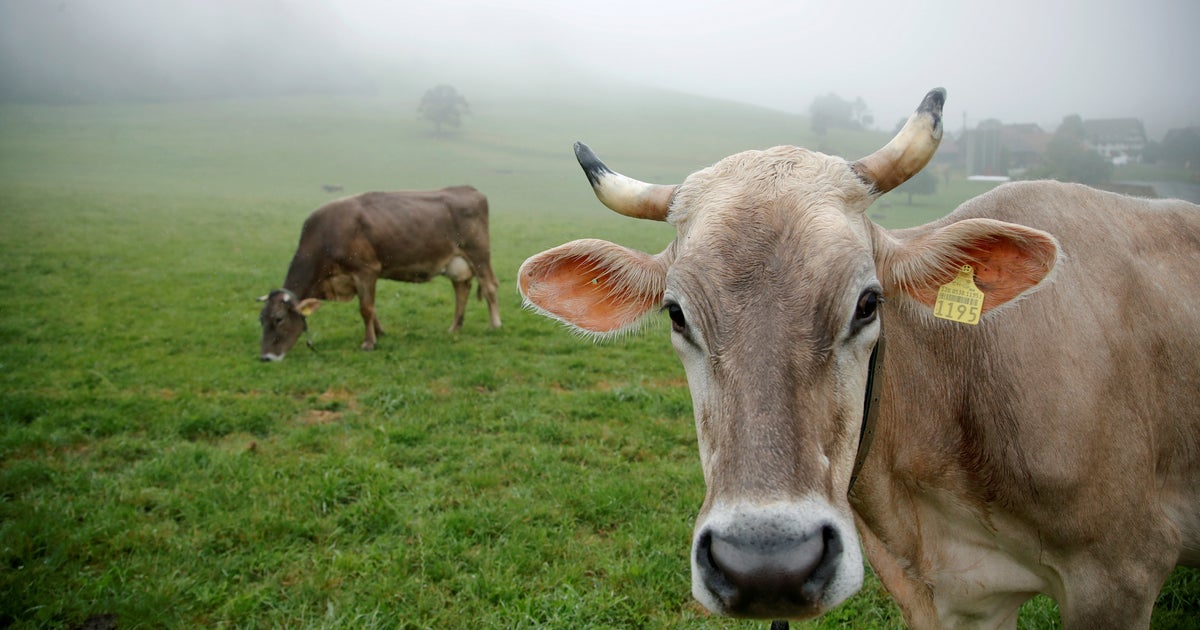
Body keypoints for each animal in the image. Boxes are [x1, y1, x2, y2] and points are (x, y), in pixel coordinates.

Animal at [258, 186, 501, 361]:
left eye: (279, 319)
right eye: (261, 319)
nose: (265, 357)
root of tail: (468, 189)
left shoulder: (366, 270)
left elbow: (365, 308)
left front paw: (369, 342)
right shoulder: (355, 277)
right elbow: (371, 308)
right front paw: (379, 332)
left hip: (479, 253)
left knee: (489, 286)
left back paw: (495, 324)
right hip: (456, 263)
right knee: (462, 289)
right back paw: (454, 327)